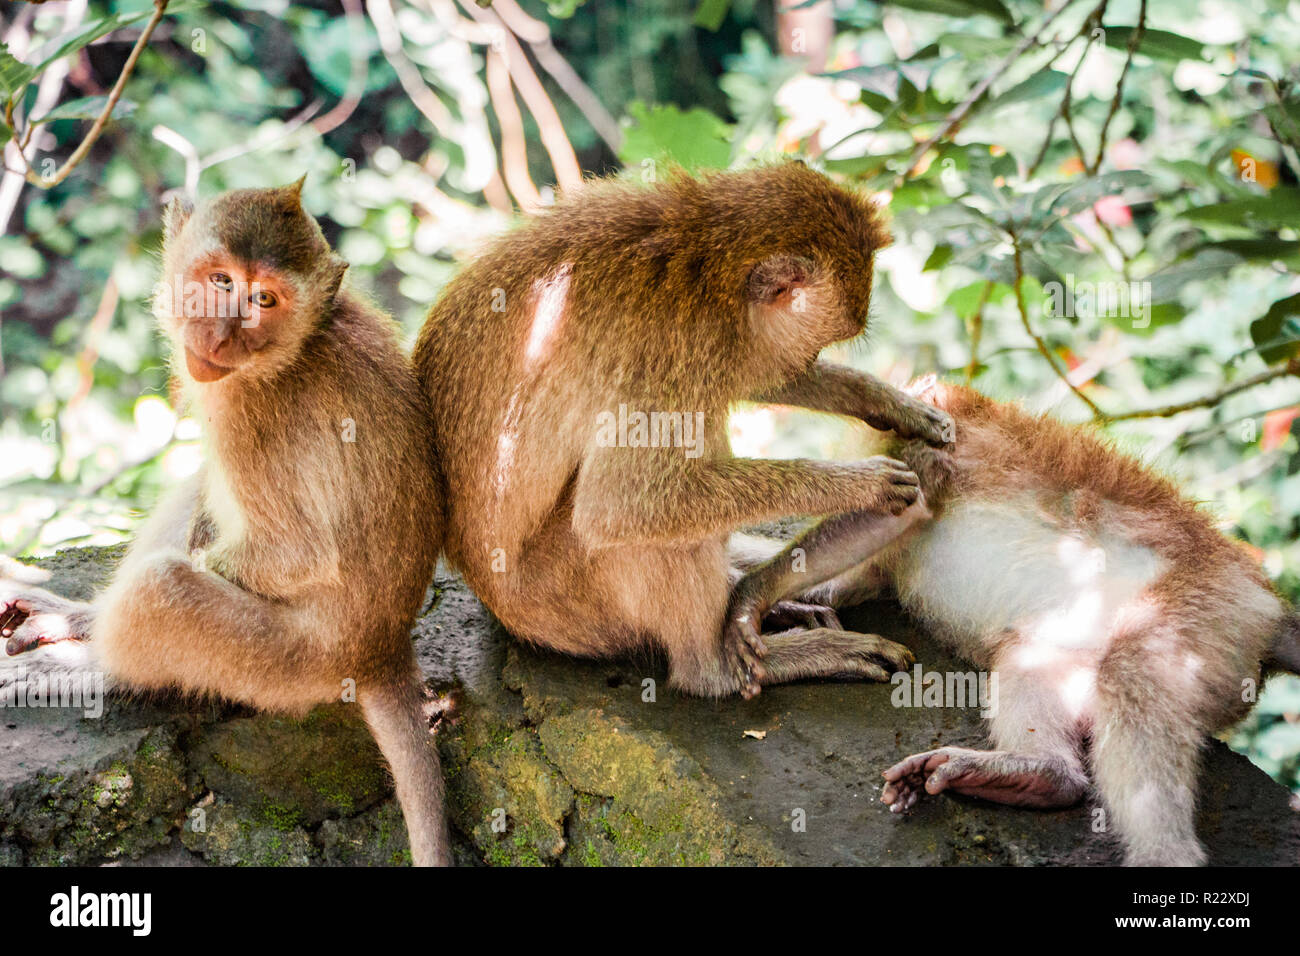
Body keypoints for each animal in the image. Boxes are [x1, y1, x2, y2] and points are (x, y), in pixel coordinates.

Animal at [0, 180, 451, 866]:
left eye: (264, 299)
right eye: (220, 280)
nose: (220, 335)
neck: (287, 352)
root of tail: (381, 651)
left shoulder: (251, 418)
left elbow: (296, 554)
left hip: (289, 664)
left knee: (164, 588)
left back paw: (96, 663)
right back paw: (80, 622)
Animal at [413, 163, 953, 702]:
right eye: (819, 342)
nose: (807, 362)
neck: (704, 257)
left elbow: (749, 376)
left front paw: (887, 401)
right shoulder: (667, 350)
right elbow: (619, 508)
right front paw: (859, 484)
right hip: (567, 605)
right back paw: (717, 665)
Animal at [818, 376, 1300, 866]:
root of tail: (1268, 605)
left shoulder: (928, 453)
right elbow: (859, 573)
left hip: (1210, 608)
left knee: (1133, 669)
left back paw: (1163, 853)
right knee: (1031, 657)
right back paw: (1041, 775)